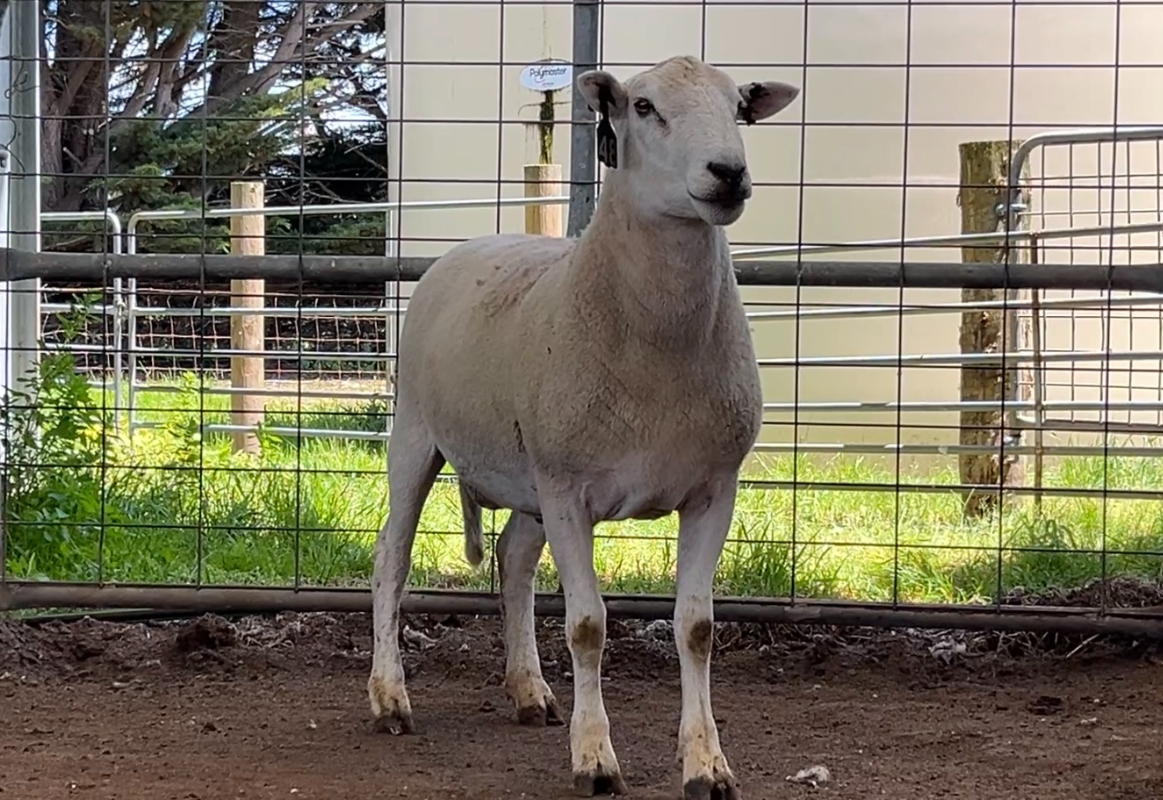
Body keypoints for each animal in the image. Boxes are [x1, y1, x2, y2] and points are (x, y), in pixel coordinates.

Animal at [368, 54, 800, 799]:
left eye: (738, 107)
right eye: (644, 107)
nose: (728, 173)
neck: (658, 347)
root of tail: (473, 242)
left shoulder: (714, 487)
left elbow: (697, 628)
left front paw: (706, 766)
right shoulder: (568, 489)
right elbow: (588, 626)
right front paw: (595, 760)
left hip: (530, 473)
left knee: (512, 558)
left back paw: (529, 691)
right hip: (419, 436)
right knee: (390, 561)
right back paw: (390, 699)